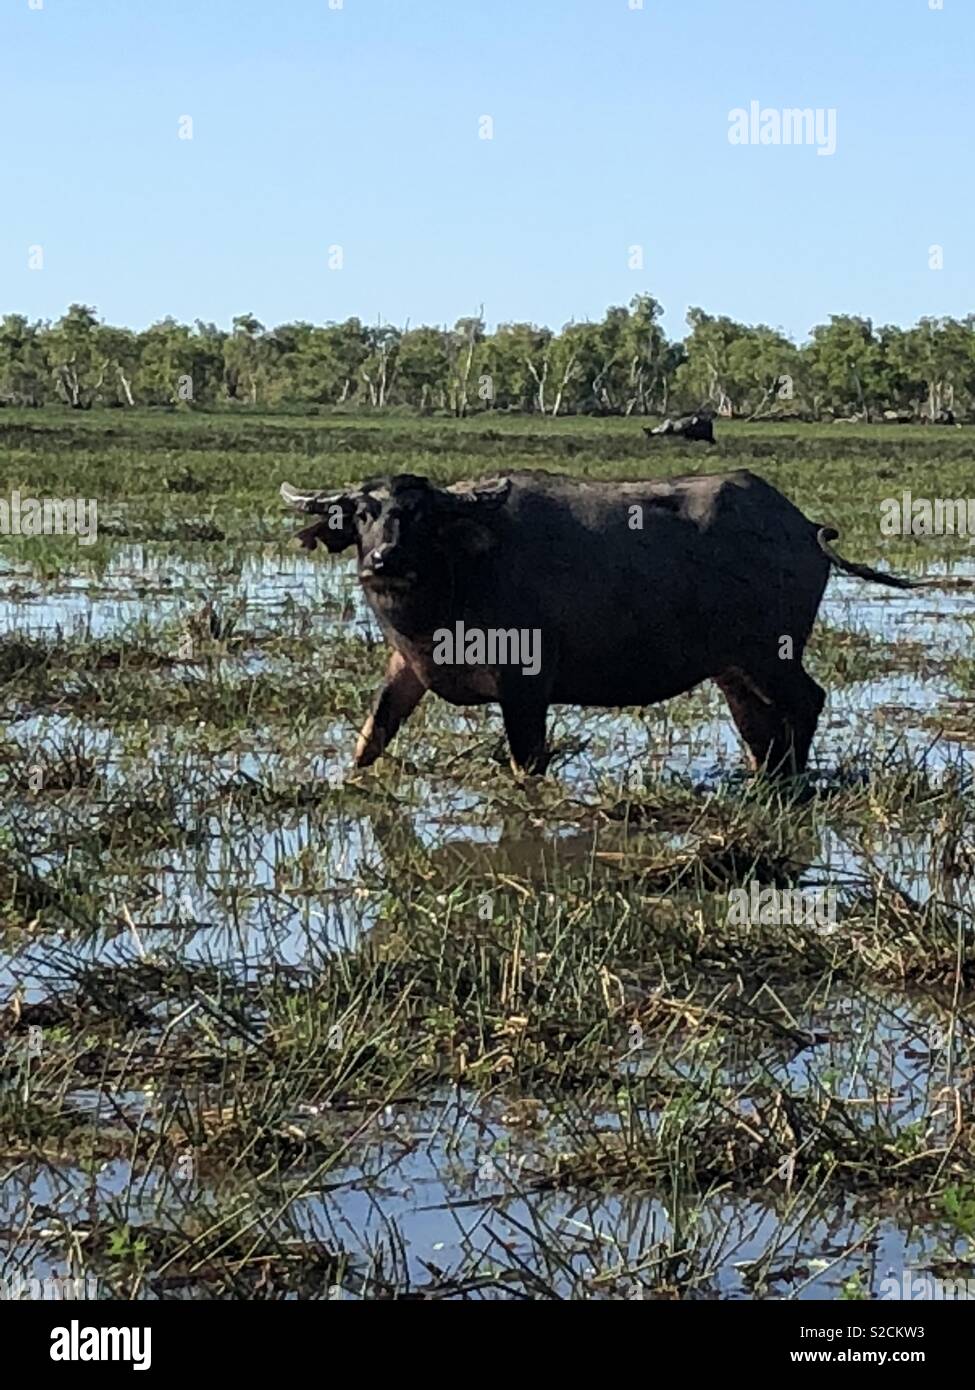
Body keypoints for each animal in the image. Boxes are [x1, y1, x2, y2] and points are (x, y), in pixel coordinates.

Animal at [281, 469, 916, 778]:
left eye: (419, 516)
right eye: (362, 514)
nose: (383, 559)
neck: (460, 576)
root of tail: (802, 527)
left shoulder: (525, 683)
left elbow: (527, 762)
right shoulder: (406, 668)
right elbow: (371, 737)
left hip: (771, 652)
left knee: (807, 702)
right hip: (734, 668)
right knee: (761, 728)